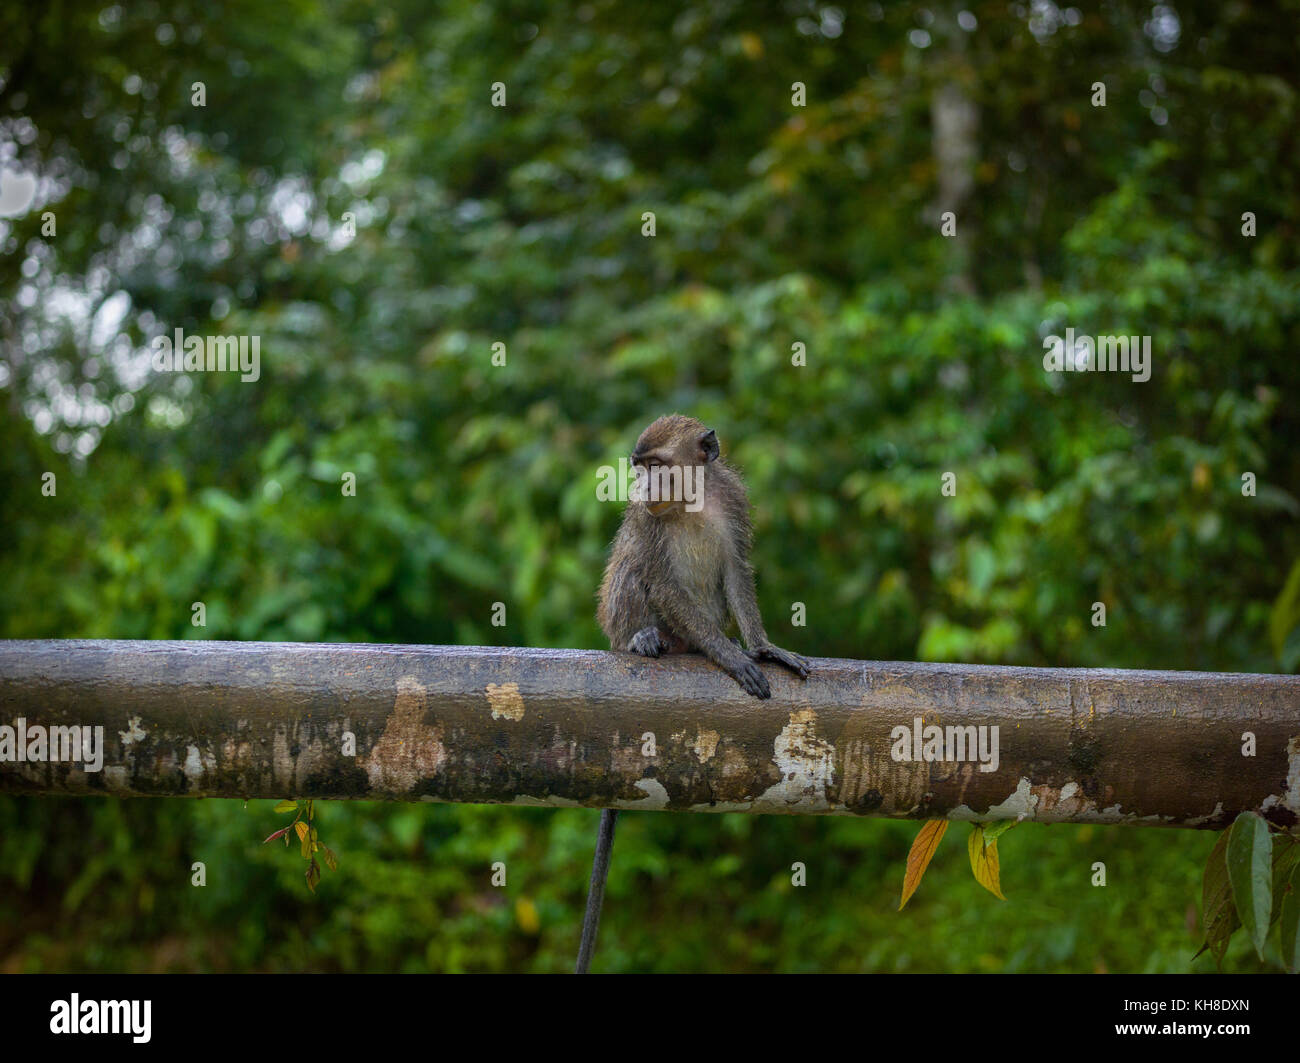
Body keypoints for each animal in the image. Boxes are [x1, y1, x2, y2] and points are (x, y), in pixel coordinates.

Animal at [597, 413, 810, 699]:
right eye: (640, 469)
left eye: (655, 466)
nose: (644, 486)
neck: (689, 501)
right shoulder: (643, 515)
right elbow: (663, 584)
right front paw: (731, 657)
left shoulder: (733, 496)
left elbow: (734, 569)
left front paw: (763, 648)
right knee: (631, 567)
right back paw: (639, 639)